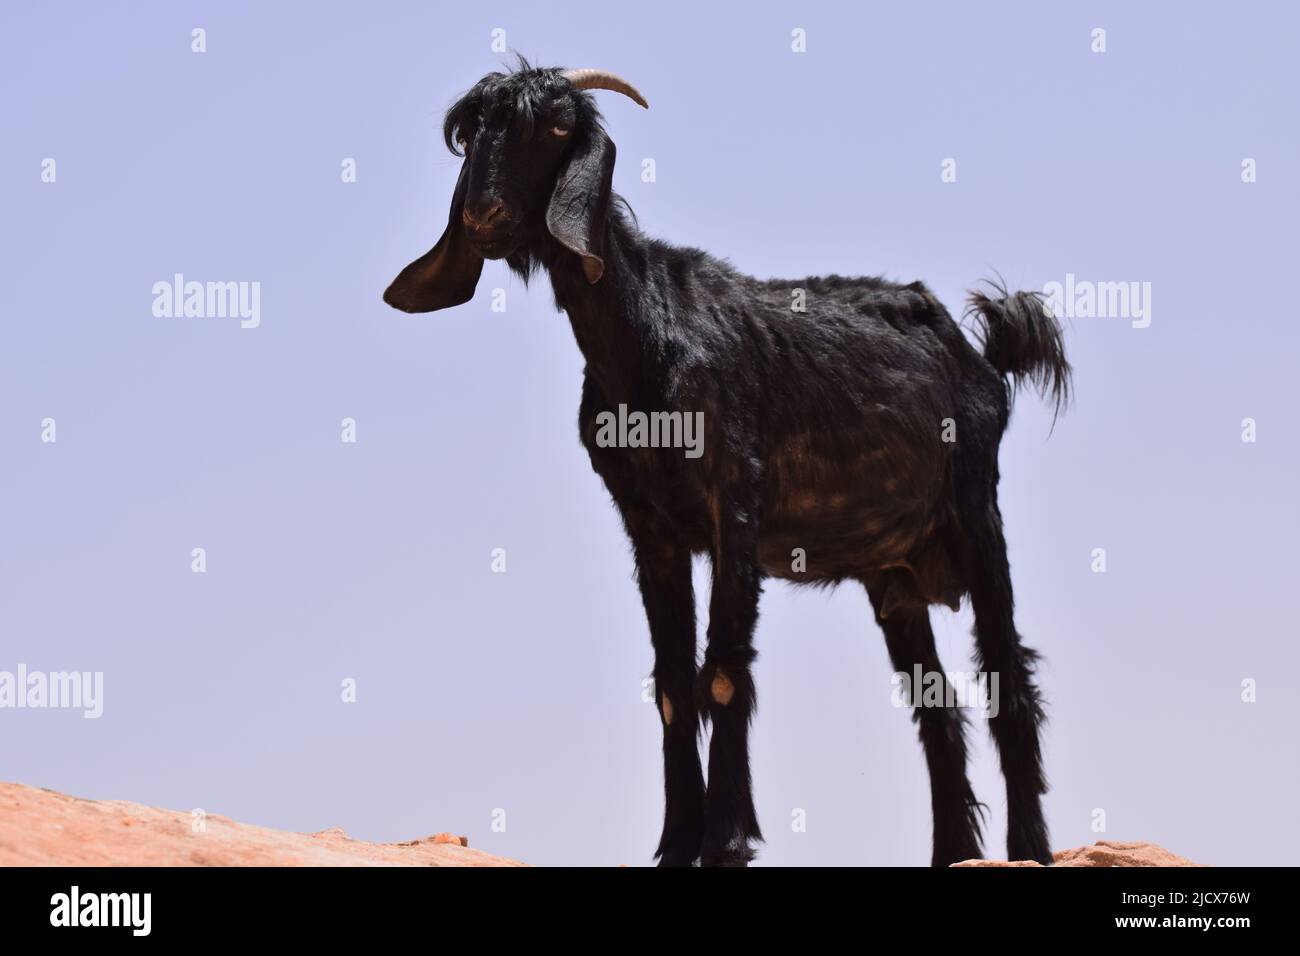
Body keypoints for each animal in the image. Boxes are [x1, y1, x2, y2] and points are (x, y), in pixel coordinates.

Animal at [384, 61, 1071, 867]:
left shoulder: (735, 500)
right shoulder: (649, 524)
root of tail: (981, 358)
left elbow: (722, 672)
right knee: (937, 707)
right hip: (892, 575)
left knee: (1008, 678)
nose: (484, 215)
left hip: (974, 514)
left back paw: (1030, 847)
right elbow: (674, 683)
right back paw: (953, 851)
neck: (648, 342)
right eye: (472, 135)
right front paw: (677, 841)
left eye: (553, 126)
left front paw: (728, 838)